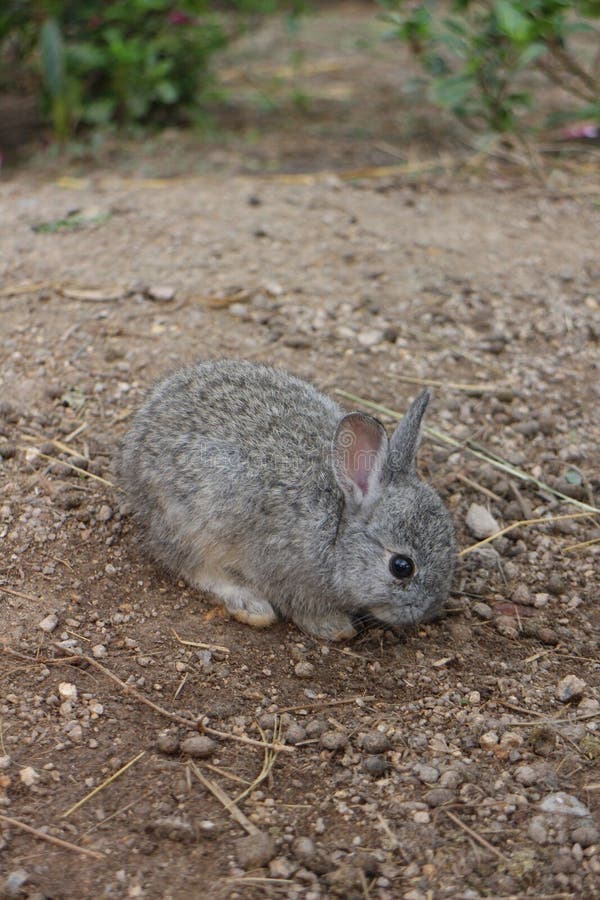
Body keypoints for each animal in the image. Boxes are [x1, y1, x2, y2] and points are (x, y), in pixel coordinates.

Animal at [117, 359, 456, 641]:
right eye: (402, 567)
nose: (427, 610)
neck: (337, 527)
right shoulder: (282, 568)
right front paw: (335, 627)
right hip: (190, 521)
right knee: (192, 566)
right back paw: (251, 605)